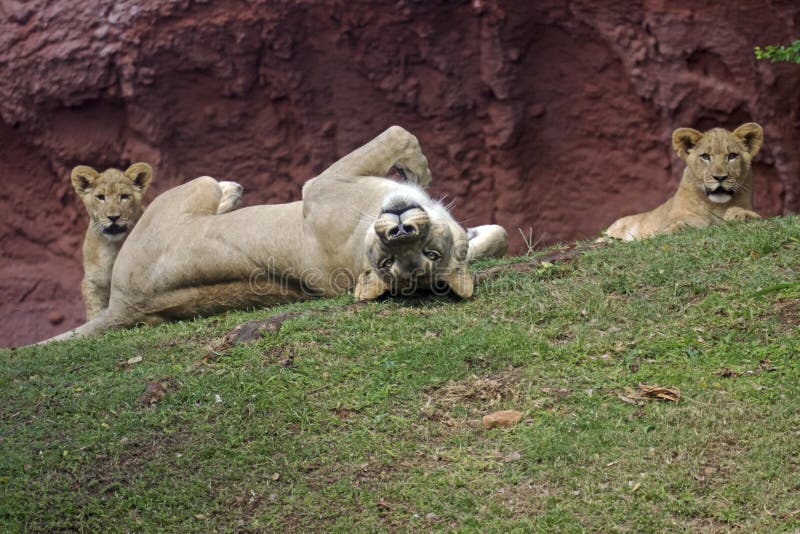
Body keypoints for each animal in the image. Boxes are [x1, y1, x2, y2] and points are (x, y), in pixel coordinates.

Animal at [71, 162, 155, 319]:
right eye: (100, 197)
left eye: (124, 196)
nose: (113, 217)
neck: (112, 247)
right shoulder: (91, 282)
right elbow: (94, 313)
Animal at [605, 122, 763, 241]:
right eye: (706, 156)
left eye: (732, 156)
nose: (719, 177)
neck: (715, 205)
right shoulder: (673, 218)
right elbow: (684, 222)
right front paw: (678, 228)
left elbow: (745, 212)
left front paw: (742, 215)